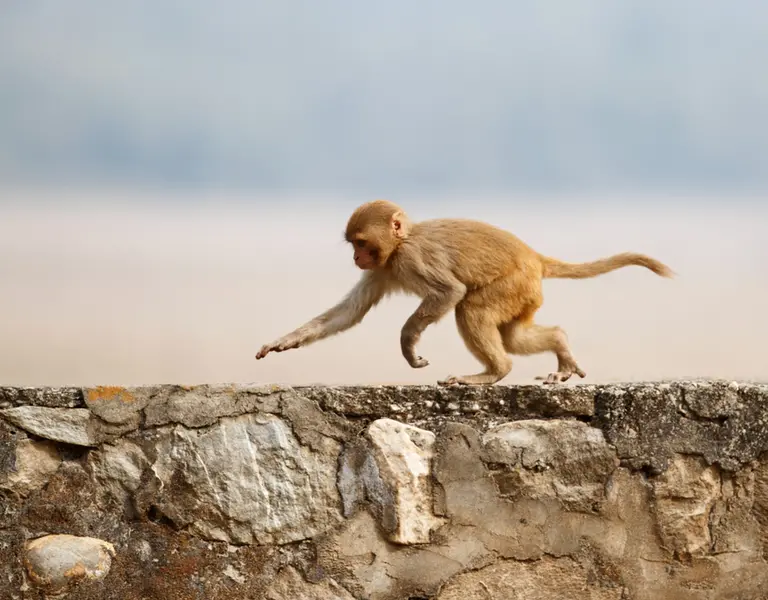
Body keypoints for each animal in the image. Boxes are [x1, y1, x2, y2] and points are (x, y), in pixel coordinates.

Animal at [255, 199, 673, 386]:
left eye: (361, 243)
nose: (357, 257)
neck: (400, 243)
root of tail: (534, 257)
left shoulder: (409, 258)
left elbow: (449, 291)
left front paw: (408, 344)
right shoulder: (383, 269)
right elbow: (350, 312)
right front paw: (282, 342)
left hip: (513, 283)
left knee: (470, 308)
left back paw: (493, 372)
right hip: (526, 295)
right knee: (514, 335)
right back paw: (559, 344)